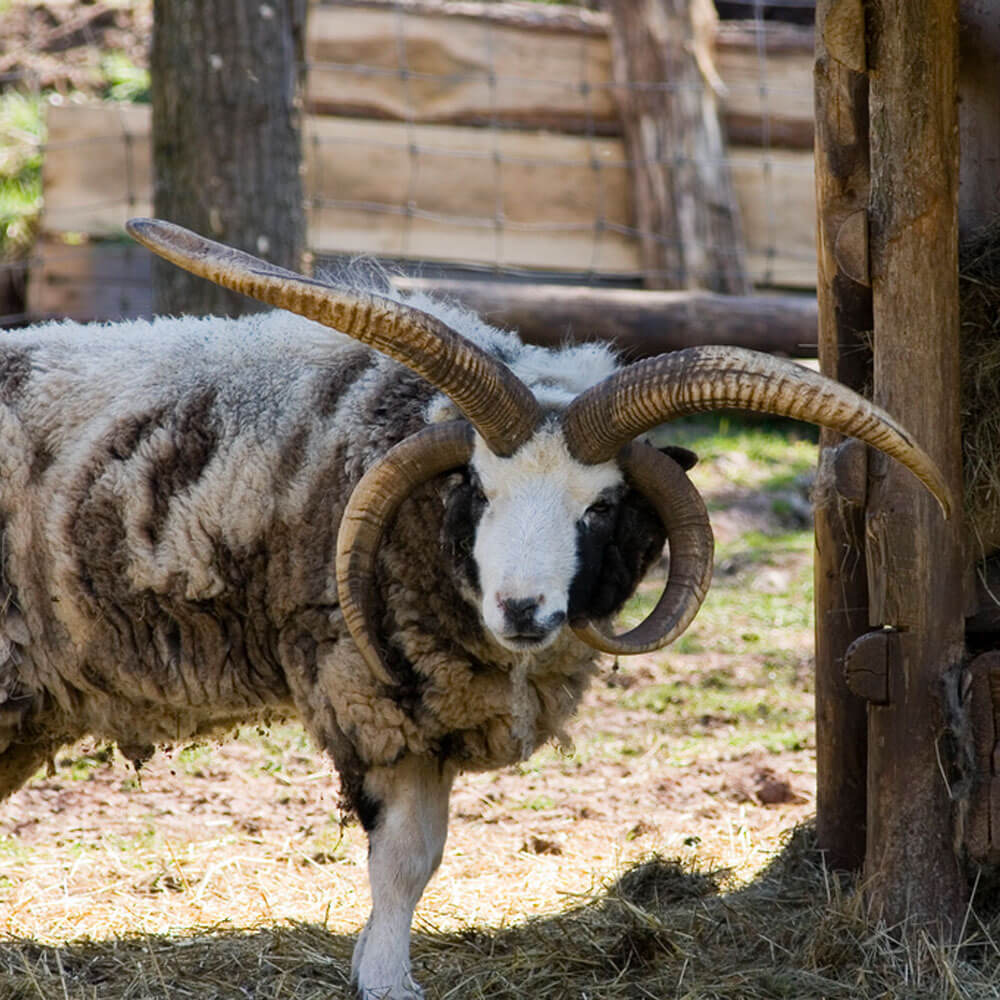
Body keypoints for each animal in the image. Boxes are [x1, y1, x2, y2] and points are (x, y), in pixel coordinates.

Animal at [0, 219, 950, 1000]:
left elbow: (424, 857)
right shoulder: (374, 694)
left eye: (599, 508)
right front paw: (385, 981)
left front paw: (377, 967)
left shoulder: (431, 713)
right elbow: (399, 860)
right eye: (478, 488)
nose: (525, 610)